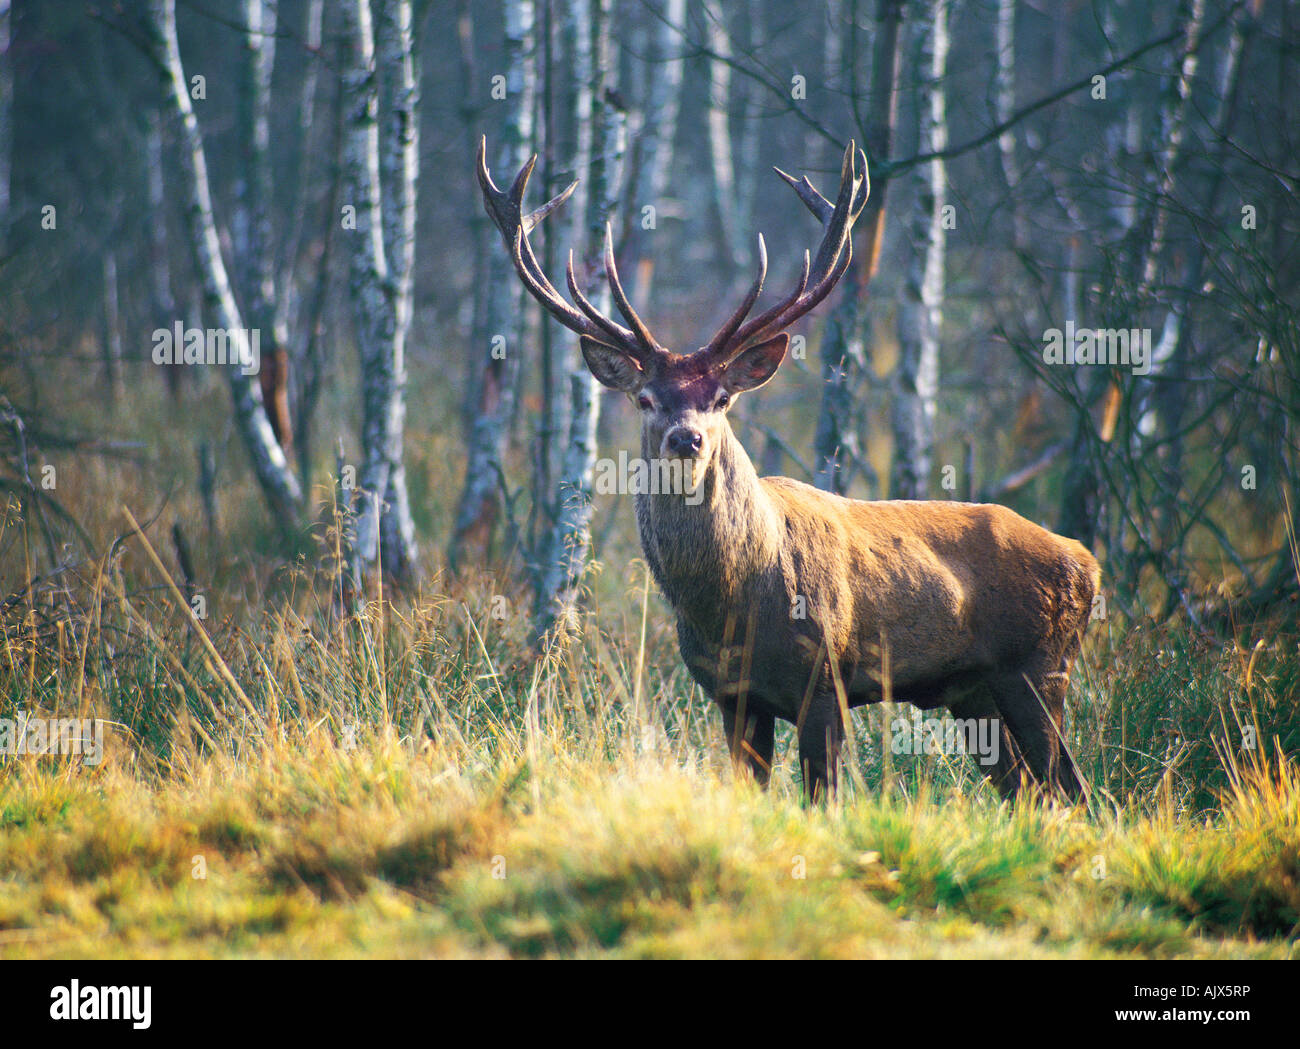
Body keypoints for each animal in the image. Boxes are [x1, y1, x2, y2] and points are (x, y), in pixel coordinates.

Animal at [476, 136, 1100, 804]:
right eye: (645, 398)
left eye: (722, 397)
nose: (687, 437)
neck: (735, 603)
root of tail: (1088, 564)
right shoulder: (730, 694)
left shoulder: (825, 678)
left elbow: (824, 797)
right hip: (977, 695)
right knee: (1032, 789)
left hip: (1039, 668)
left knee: (1072, 787)